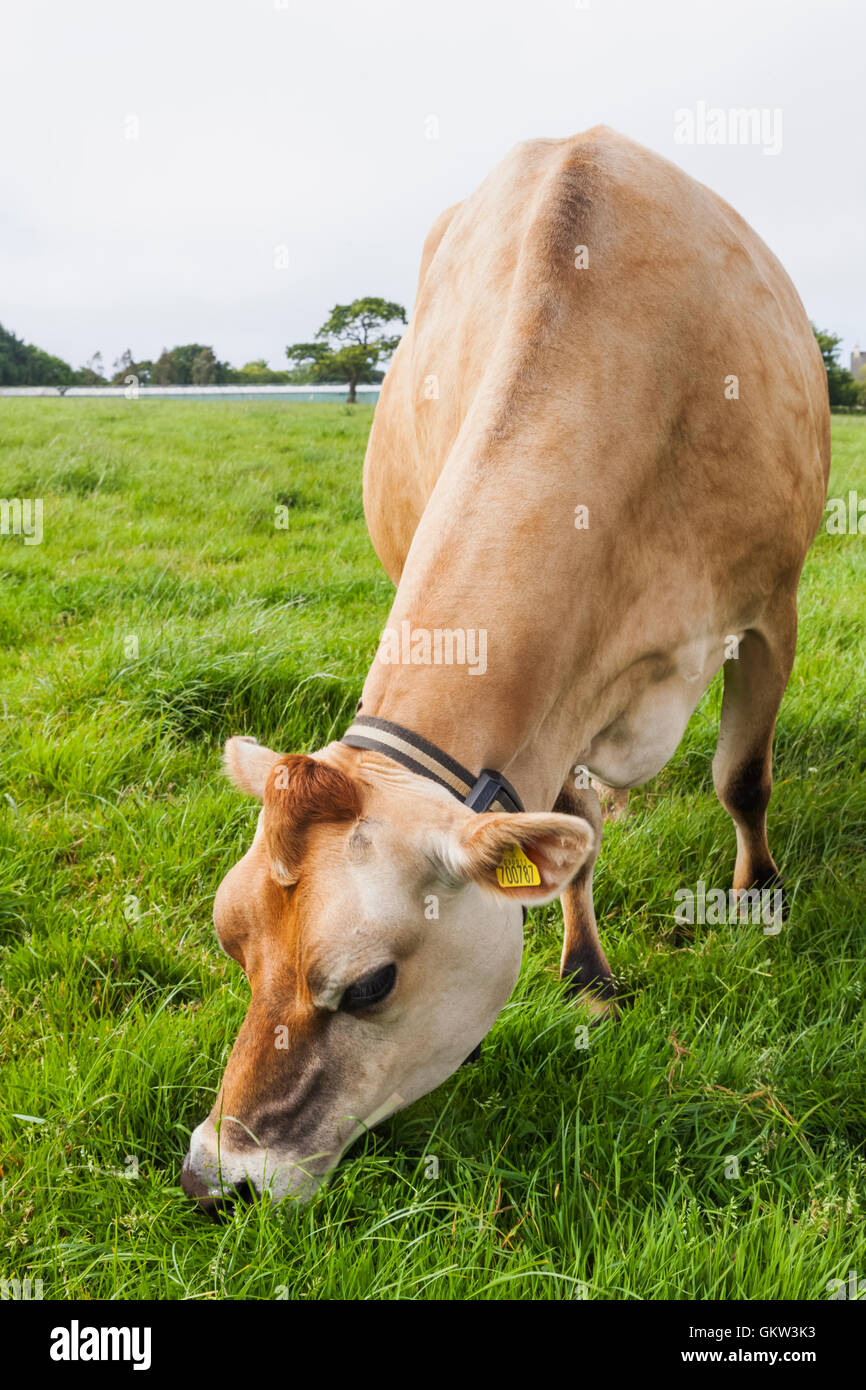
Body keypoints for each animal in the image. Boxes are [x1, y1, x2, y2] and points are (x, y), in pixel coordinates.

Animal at [181, 126, 830, 1209]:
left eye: (370, 984)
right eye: (231, 937)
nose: (214, 1175)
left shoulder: (766, 608)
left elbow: (742, 778)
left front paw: (755, 895)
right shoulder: (546, 718)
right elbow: (572, 831)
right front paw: (587, 976)